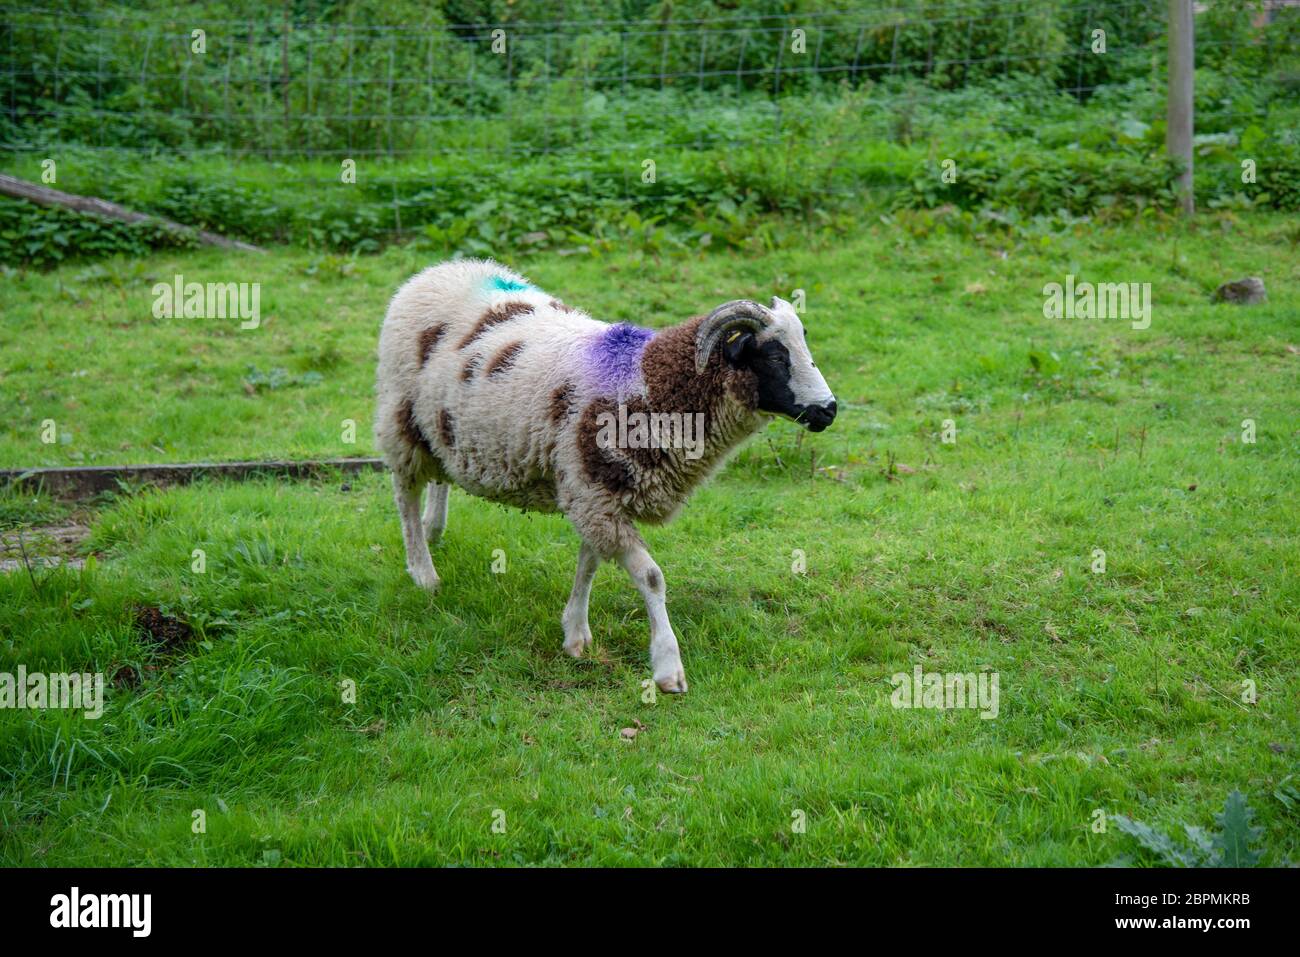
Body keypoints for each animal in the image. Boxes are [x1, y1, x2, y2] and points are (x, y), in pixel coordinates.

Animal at [374, 258, 837, 693]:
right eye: (775, 355)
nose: (829, 409)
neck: (650, 383)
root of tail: (440, 270)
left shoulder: (594, 490)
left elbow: (589, 564)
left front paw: (575, 635)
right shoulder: (593, 493)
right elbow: (651, 577)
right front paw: (668, 668)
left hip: (442, 429)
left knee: (439, 475)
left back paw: (434, 528)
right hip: (402, 420)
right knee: (404, 493)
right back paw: (423, 570)